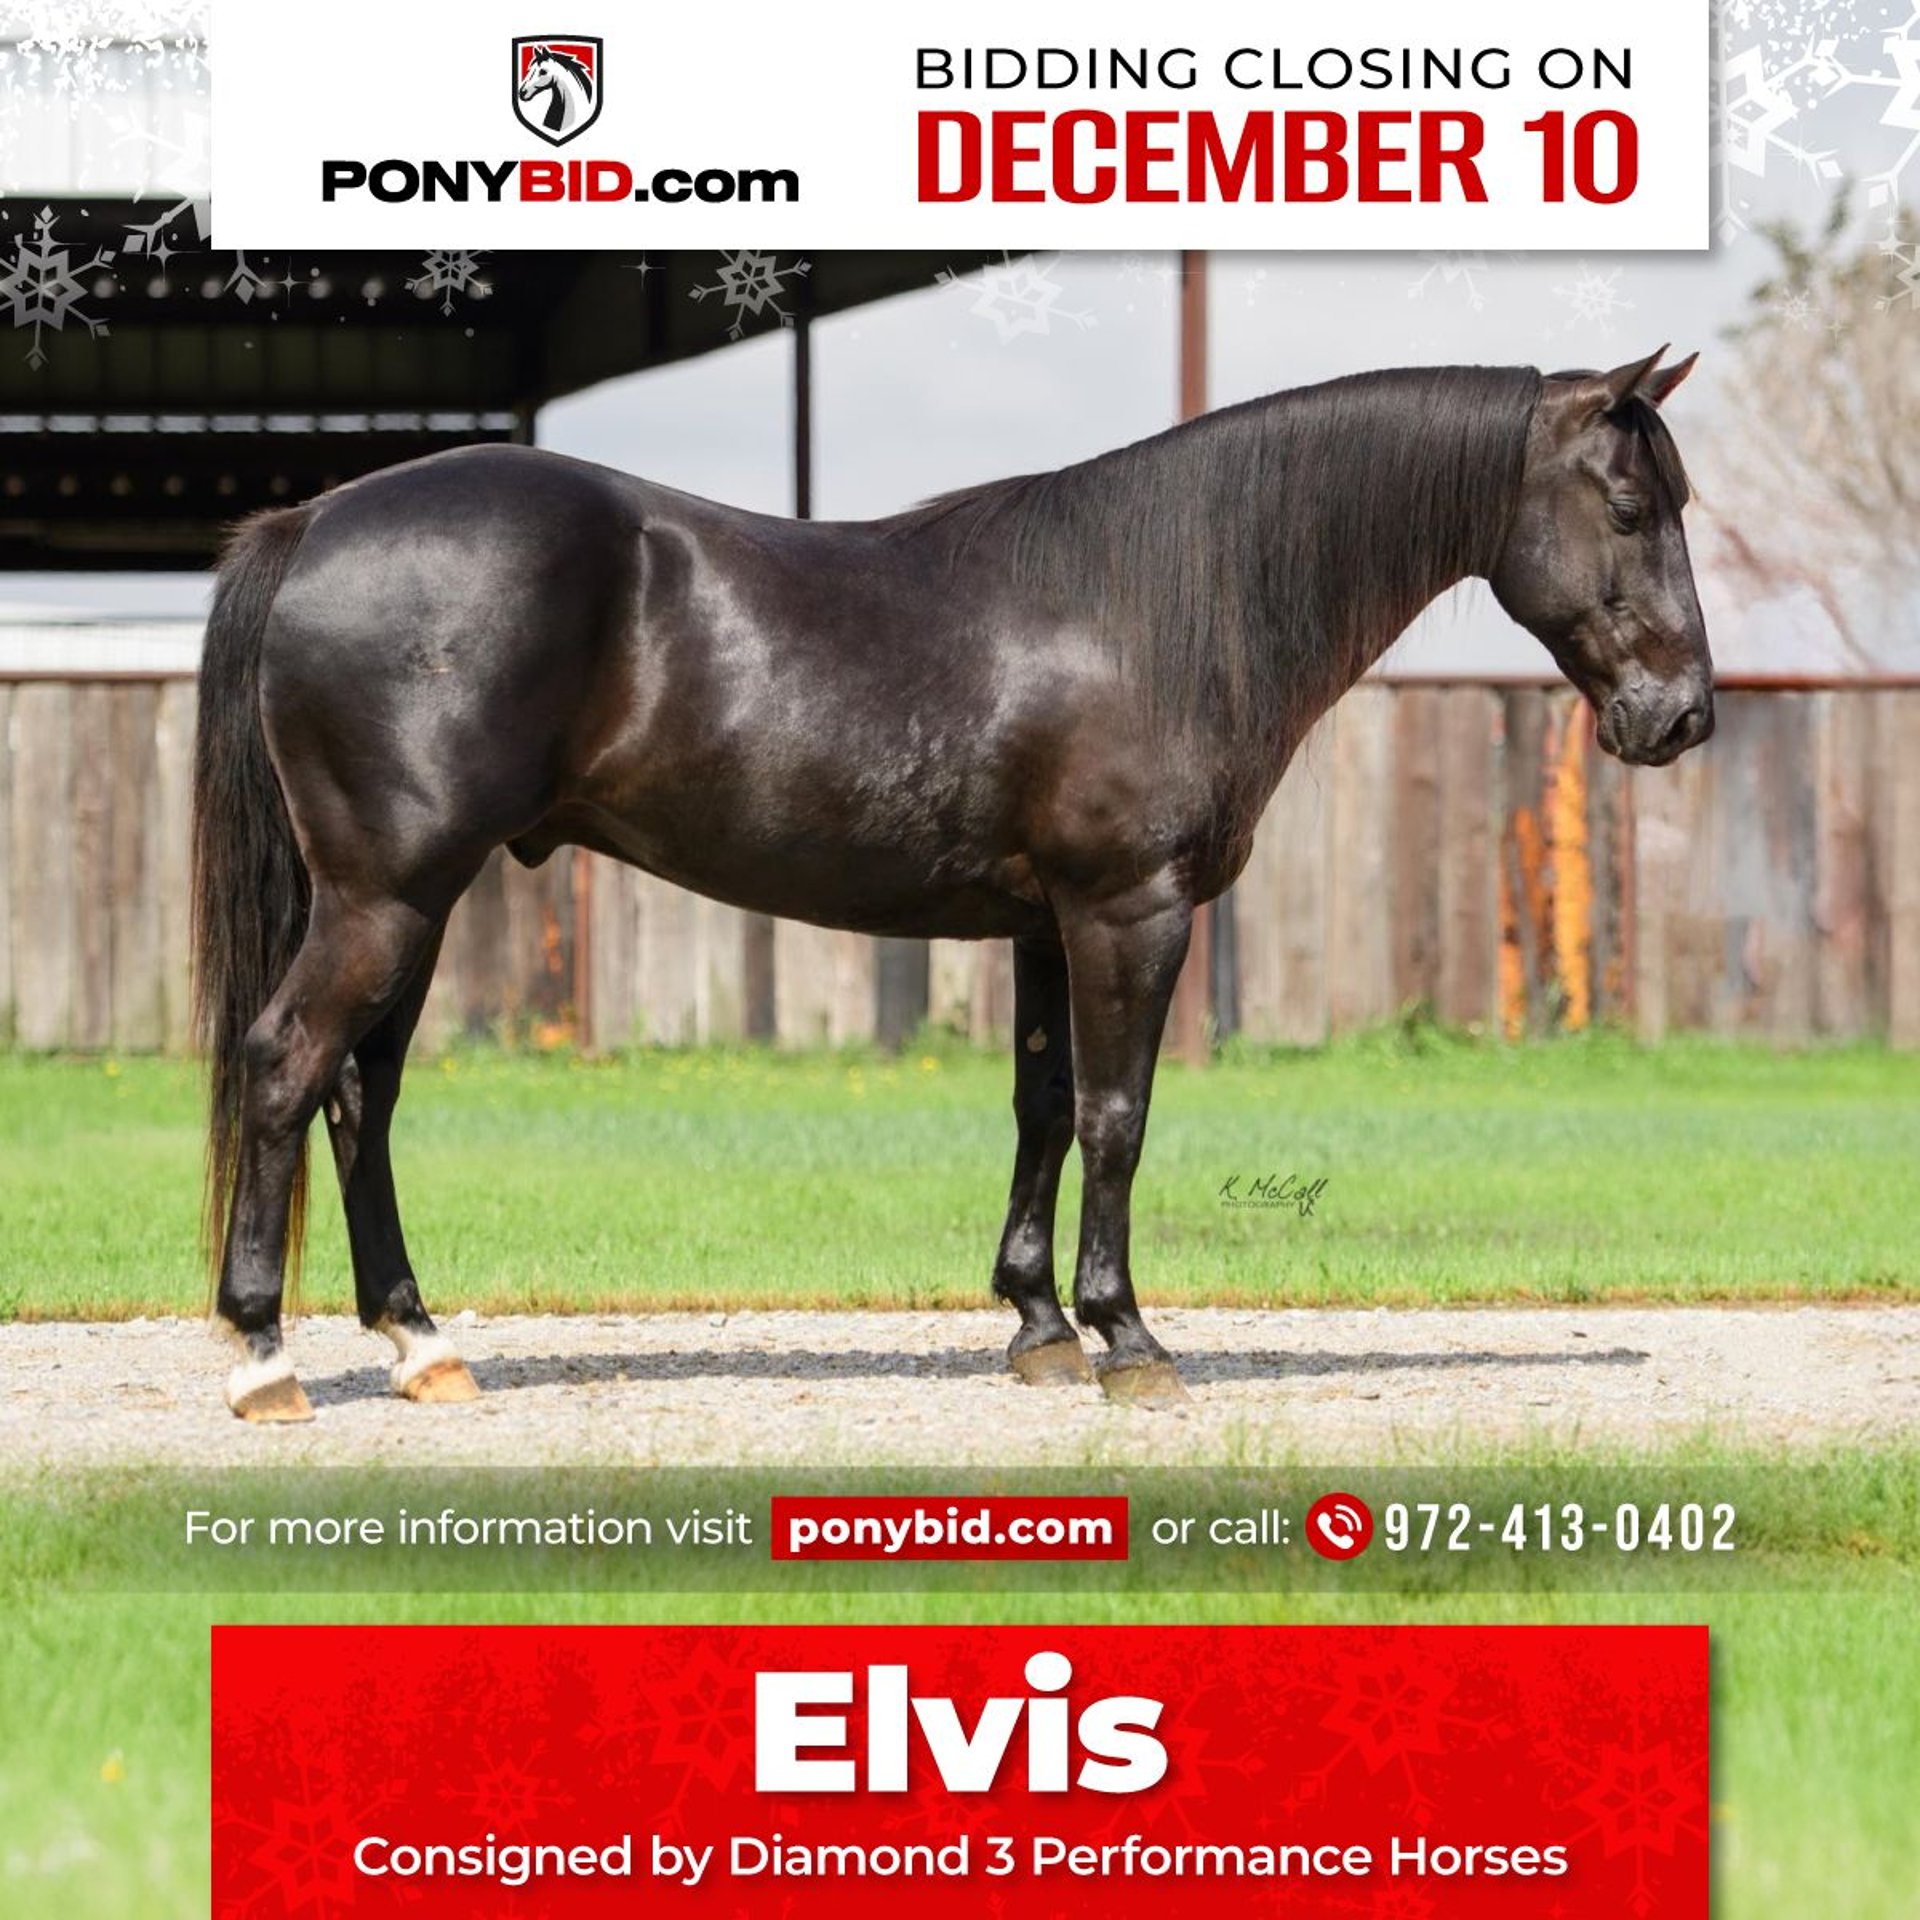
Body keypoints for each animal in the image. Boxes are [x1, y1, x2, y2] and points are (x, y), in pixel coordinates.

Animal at [190, 347, 1712, 1422]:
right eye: (1632, 507)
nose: (1684, 716)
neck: (1153, 605)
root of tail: (315, 521)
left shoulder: (1047, 923)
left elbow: (1040, 1108)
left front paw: (1037, 1327)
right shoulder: (1129, 911)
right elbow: (1115, 1118)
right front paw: (1129, 1339)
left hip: (414, 902)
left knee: (360, 1097)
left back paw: (420, 1345)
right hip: (386, 896)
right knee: (285, 1065)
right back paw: (264, 1360)